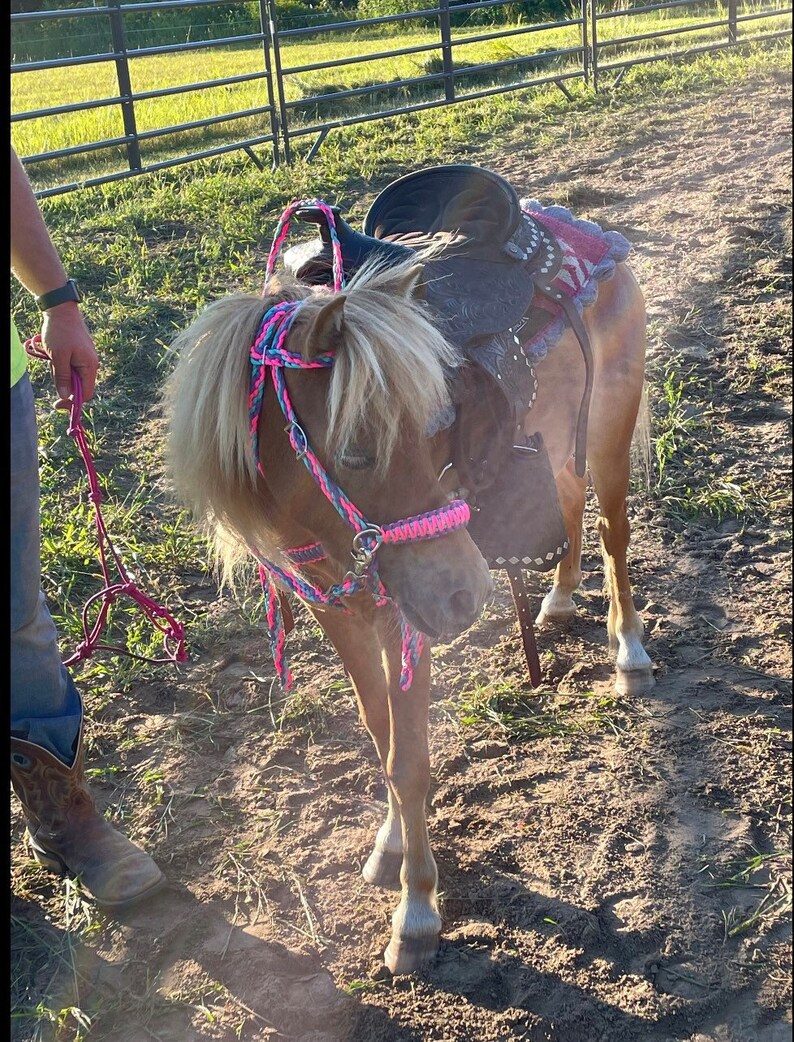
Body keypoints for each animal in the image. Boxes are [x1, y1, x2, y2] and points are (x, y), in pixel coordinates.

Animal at [162, 171, 653, 976]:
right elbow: (378, 732)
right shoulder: (341, 610)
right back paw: (554, 597)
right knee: (570, 503)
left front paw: (417, 907)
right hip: (555, 434)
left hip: (609, 429)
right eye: (356, 452)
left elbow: (410, 758)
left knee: (613, 531)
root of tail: (578, 231)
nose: (463, 597)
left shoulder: (403, 618)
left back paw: (628, 651)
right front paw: (391, 842)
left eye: (439, 423)